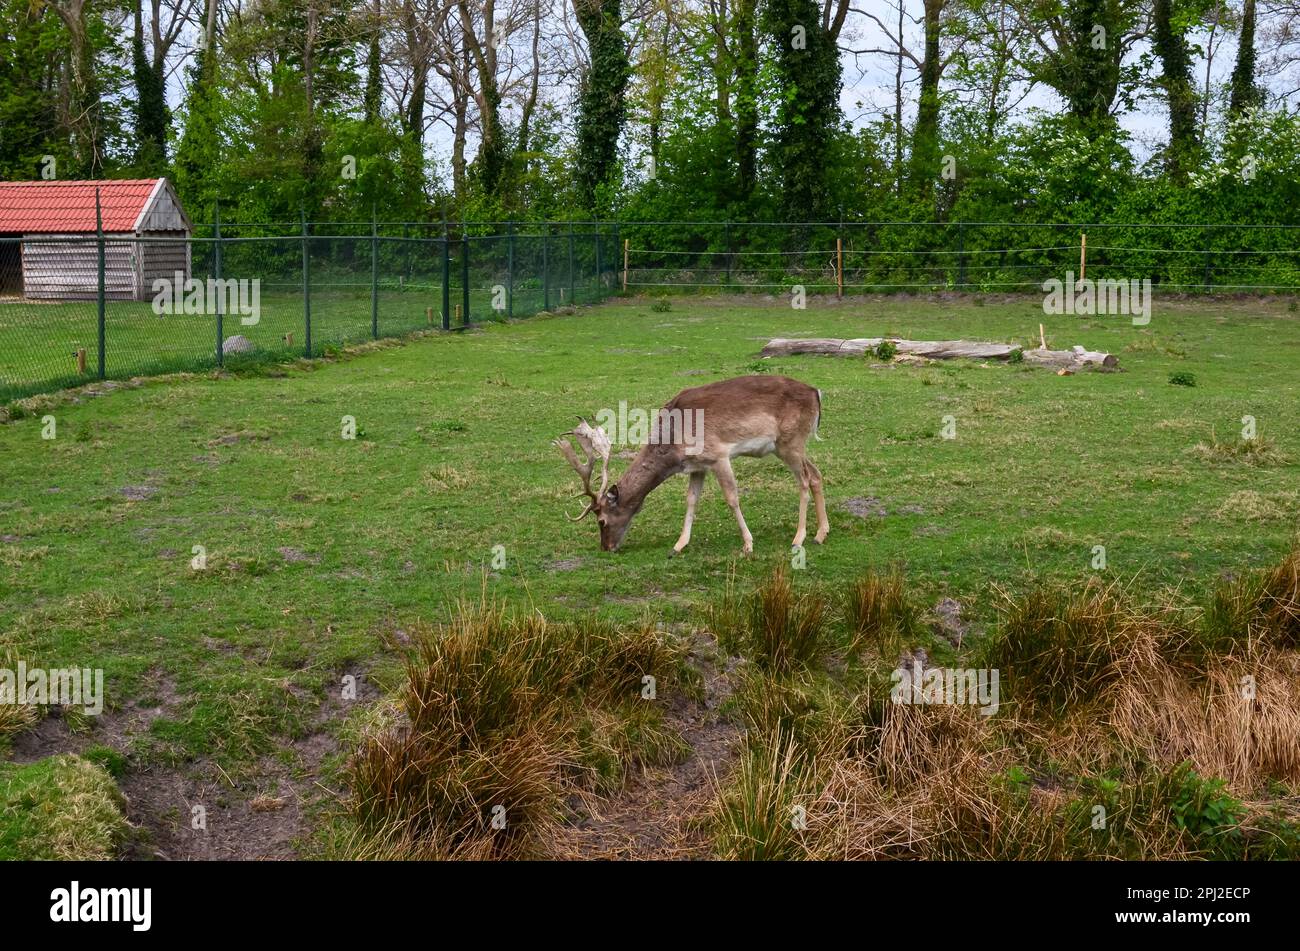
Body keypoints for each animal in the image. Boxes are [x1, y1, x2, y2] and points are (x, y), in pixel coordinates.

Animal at [553, 375, 829, 555]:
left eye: (601, 521)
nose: (606, 547)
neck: (675, 444)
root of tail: (816, 393)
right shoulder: (698, 466)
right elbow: (691, 499)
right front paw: (678, 545)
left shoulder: (718, 455)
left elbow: (732, 498)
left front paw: (748, 544)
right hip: (789, 446)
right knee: (816, 474)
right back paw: (821, 533)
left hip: (790, 442)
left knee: (804, 479)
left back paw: (799, 538)